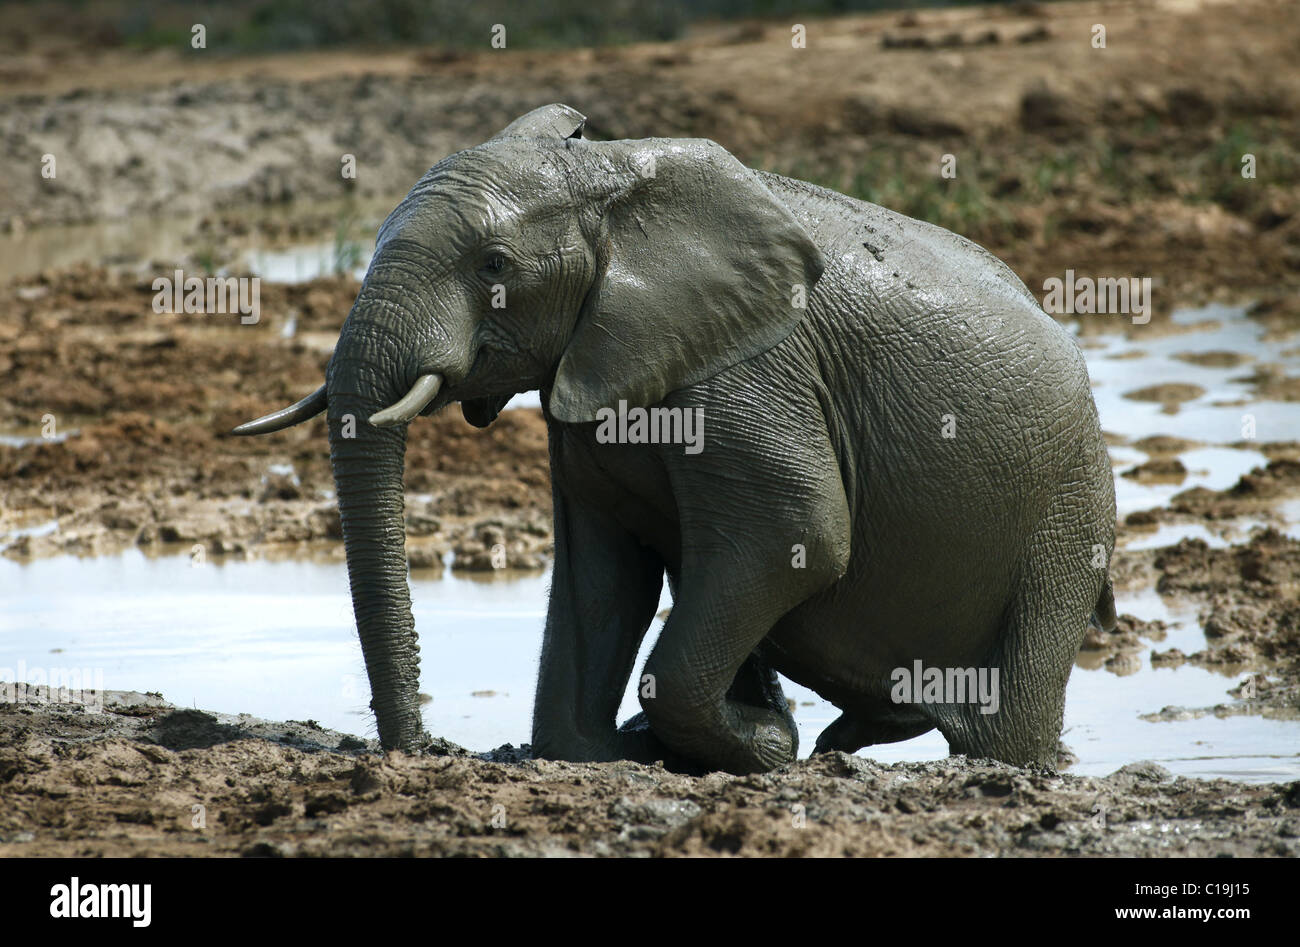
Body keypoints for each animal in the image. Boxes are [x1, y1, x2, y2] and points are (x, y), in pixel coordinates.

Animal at [234, 103, 1117, 775]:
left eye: (494, 266)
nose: (417, 751)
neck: (610, 182)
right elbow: (602, 573)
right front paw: (620, 747)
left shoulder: (754, 372)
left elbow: (794, 531)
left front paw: (762, 740)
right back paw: (843, 733)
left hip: (1067, 518)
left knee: (1011, 708)